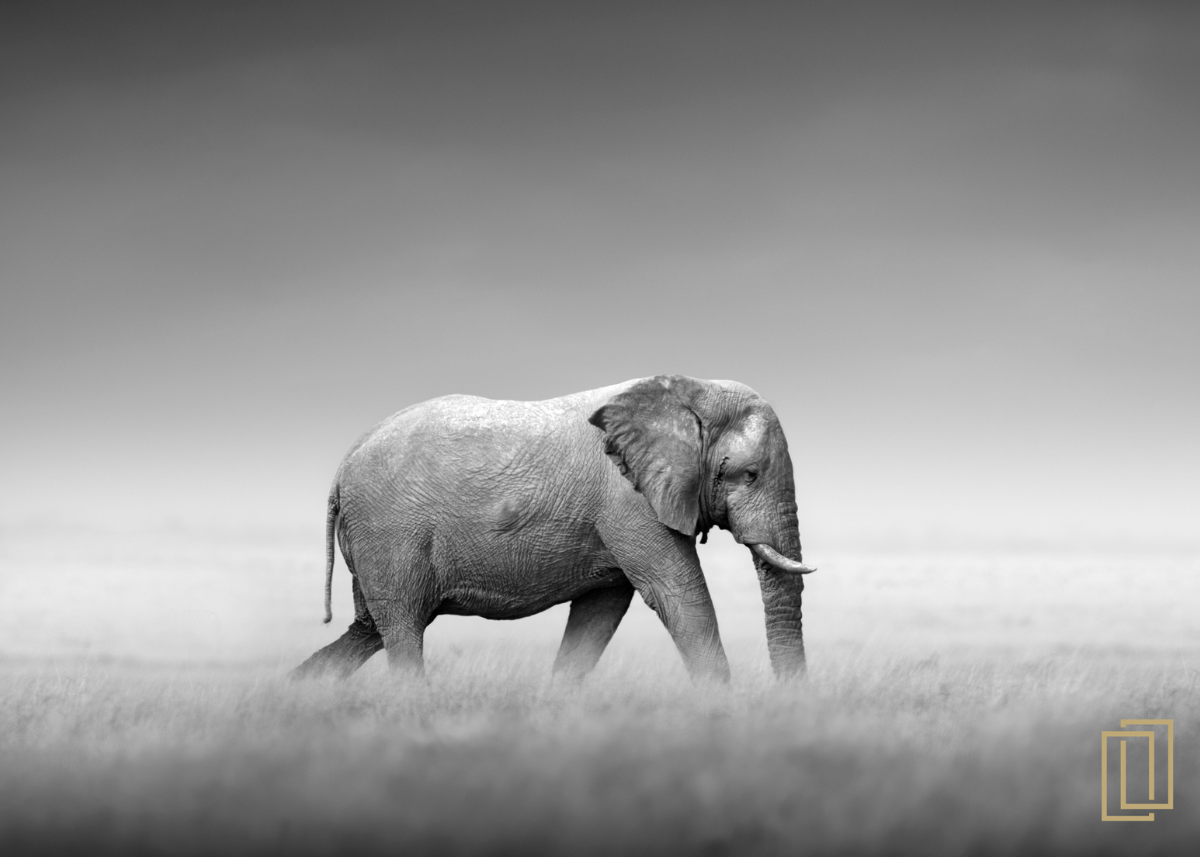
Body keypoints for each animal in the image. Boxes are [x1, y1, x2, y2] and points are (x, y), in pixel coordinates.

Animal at [292, 375, 815, 683]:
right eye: (748, 474)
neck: (690, 390)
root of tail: (342, 468)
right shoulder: (628, 502)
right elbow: (678, 595)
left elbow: (599, 614)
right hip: (389, 532)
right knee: (401, 629)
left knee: (369, 629)